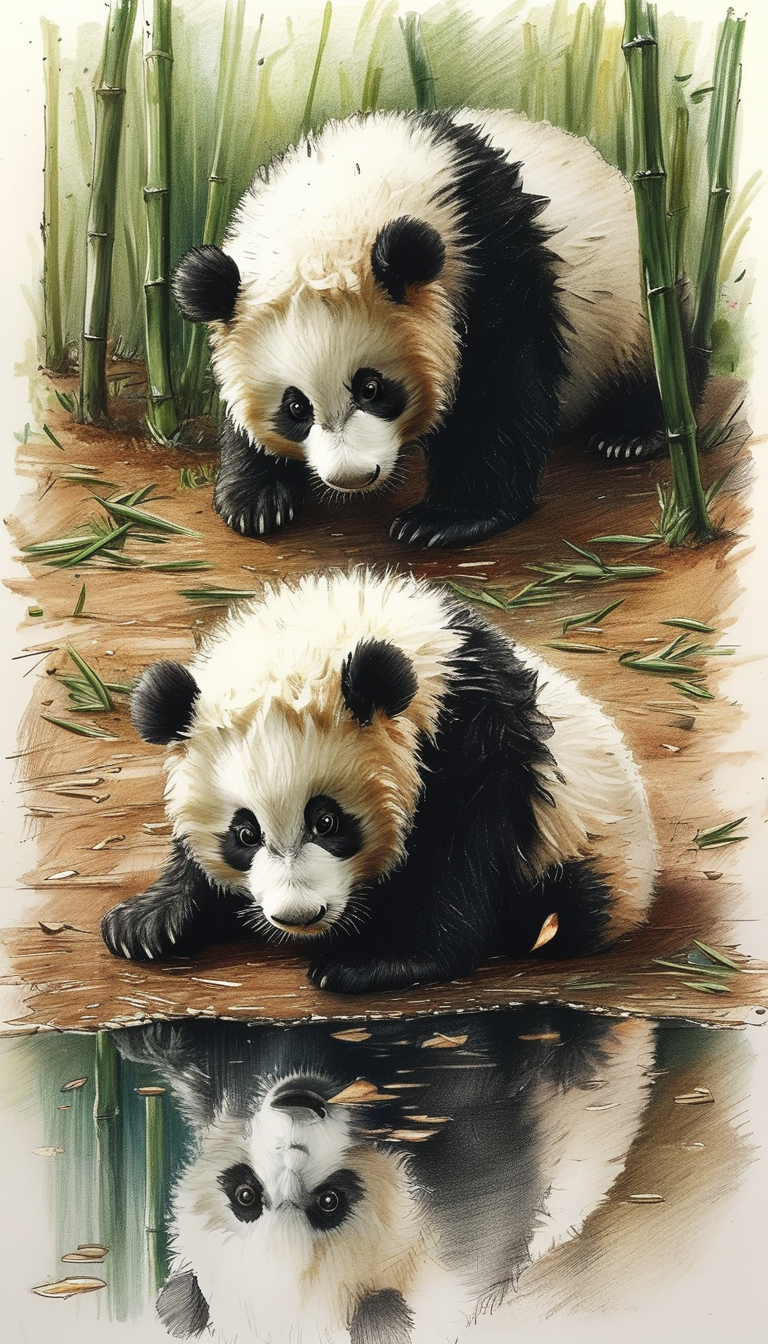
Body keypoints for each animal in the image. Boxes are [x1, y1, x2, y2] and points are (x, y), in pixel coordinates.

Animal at [101, 569, 657, 992]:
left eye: (327, 821)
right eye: (244, 833)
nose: (298, 916)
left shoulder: (477, 744)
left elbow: (459, 856)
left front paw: (378, 961)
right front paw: (144, 924)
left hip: (591, 851)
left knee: (567, 906)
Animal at [171, 108, 690, 550]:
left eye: (373, 387)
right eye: (295, 406)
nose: (351, 477)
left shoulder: (491, 261)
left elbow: (498, 386)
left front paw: (447, 518)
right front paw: (253, 500)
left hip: (633, 300)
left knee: (662, 356)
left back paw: (629, 435)